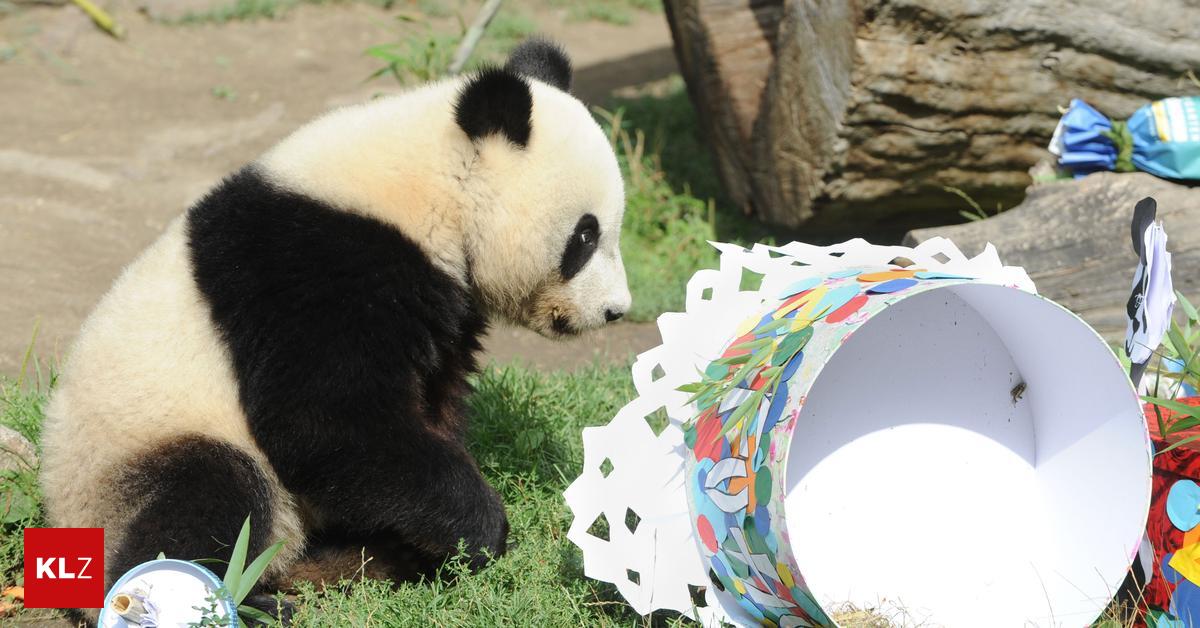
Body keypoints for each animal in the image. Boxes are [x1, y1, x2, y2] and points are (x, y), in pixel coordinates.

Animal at [38, 39, 630, 619]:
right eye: (585, 236)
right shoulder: (316, 269)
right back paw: (238, 597)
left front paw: (433, 543)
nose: (616, 311)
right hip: (130, 455)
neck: (427, 185)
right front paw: (480, 528)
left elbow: (427, 406)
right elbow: (326, 421)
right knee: (206, 495)